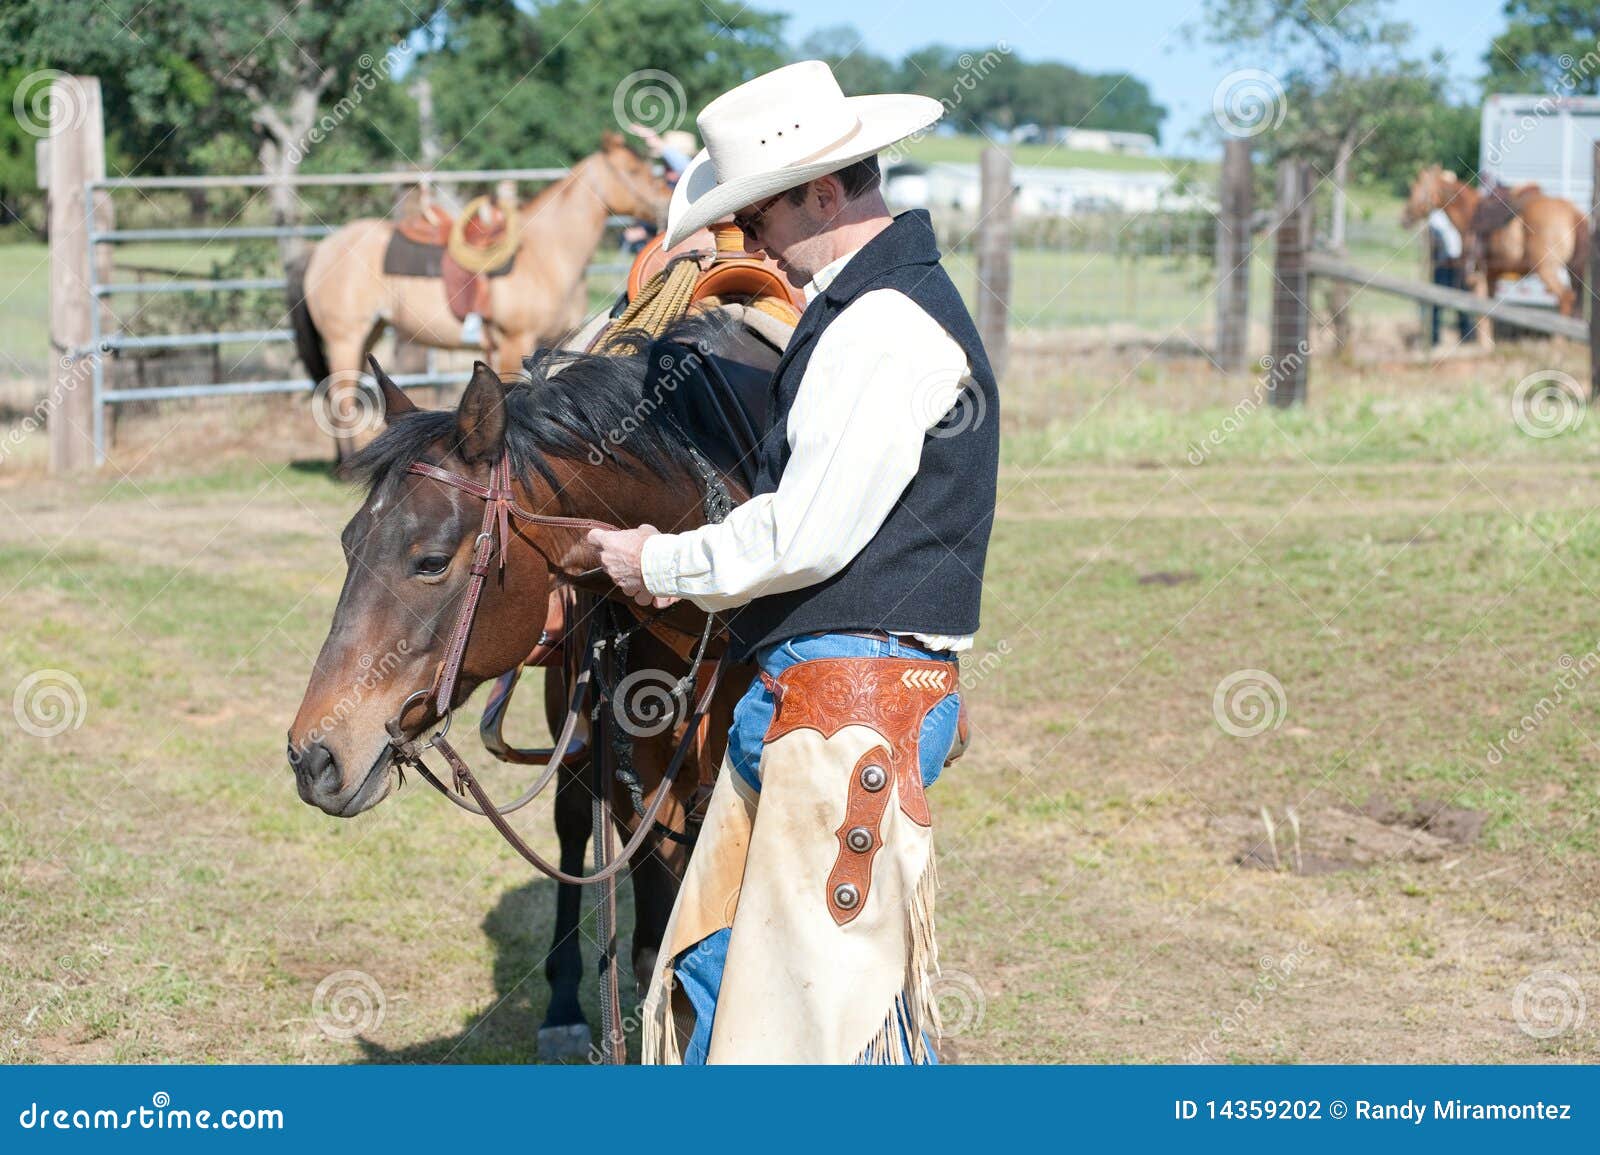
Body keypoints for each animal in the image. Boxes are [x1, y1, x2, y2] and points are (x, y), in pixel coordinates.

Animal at [286, 313, 779, 1060]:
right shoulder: (641, 788)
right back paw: (565, 1007)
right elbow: (654, 956)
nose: (314, 756)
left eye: (432, 561)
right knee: (575, 823)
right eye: (349, 543)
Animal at [288, 132, 672, 459]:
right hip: (344, 337)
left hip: (369, 334)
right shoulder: (514, 340)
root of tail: (322, 248)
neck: (544, 253)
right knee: (341, 400)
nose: (666, 204)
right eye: (633, 170)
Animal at [1402, 164, 1588, 345]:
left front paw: (1485, 345)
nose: (1405, 217)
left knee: (1565, 297)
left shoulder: (1478, 276)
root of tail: (1572, 211)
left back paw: (1558, 343)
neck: (1469, 214)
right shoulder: (1491, 275)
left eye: (1414, 188)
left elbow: (1480, 313)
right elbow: (1490, 310)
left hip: (1546, 269)